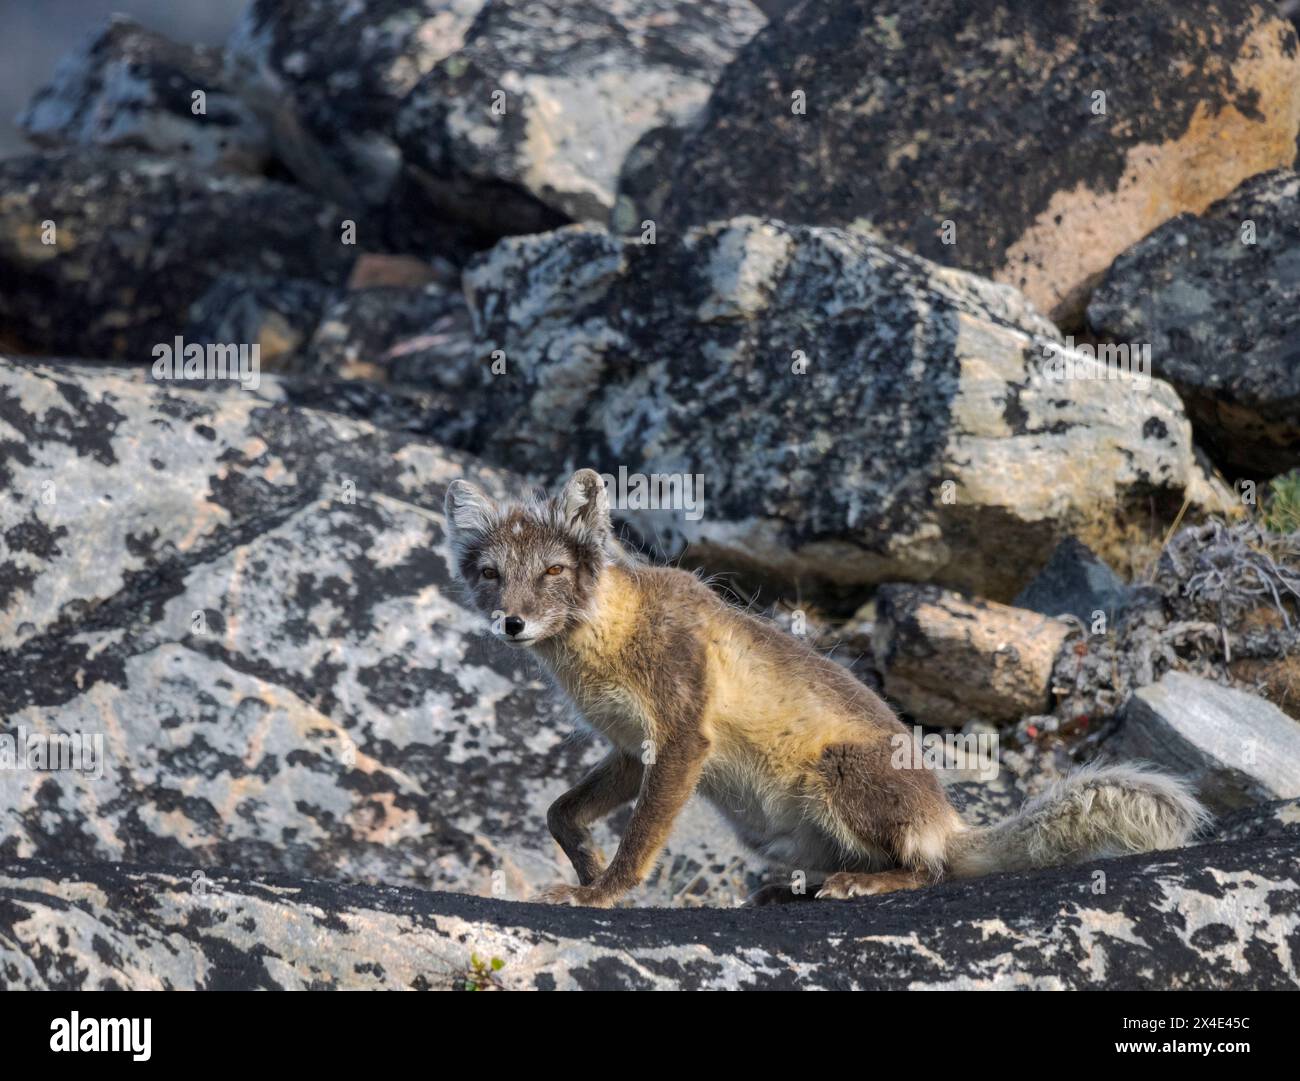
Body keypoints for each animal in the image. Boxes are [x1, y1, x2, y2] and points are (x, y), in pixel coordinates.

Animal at [444, 468, 1209, 908]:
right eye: (490, 573)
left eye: (551, 571)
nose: (511, 622)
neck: (604, 637)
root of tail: (947, 817)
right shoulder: (634, 751)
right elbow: (560, 812)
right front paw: (586, 863)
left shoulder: (683, 737)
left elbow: (640, 842)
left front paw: (601, 893)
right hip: (770, 831)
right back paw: (796, 888)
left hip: (835, 772)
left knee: (929, 870)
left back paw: (860, 884)